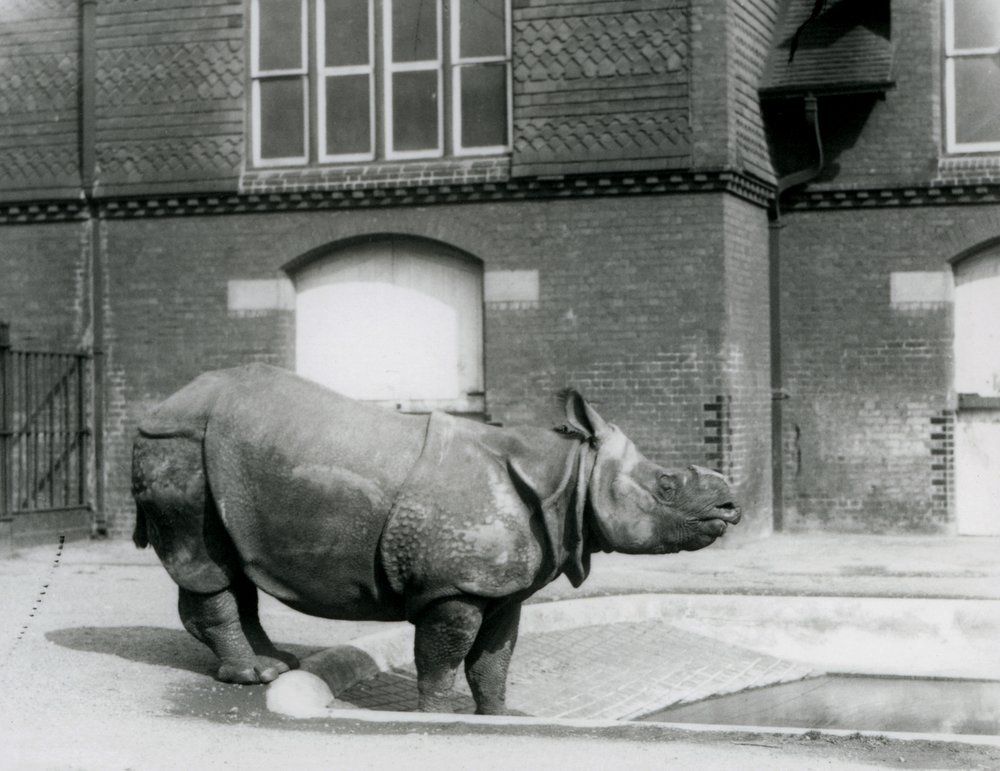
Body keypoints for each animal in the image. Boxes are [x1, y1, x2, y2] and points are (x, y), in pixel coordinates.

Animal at [132, 364, 741, 715]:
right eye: (667, 485)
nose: (731, 506)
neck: (569, 477)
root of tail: (159, 405)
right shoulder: (456, 586)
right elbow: (443, 657)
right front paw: (437, 717)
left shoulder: (502, 587)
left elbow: (493, 660)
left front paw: (498, 718)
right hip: (179, 445)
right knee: (205, 562)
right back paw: (253, 675)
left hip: (216, 456)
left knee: (233, 562)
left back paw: (276, 664)